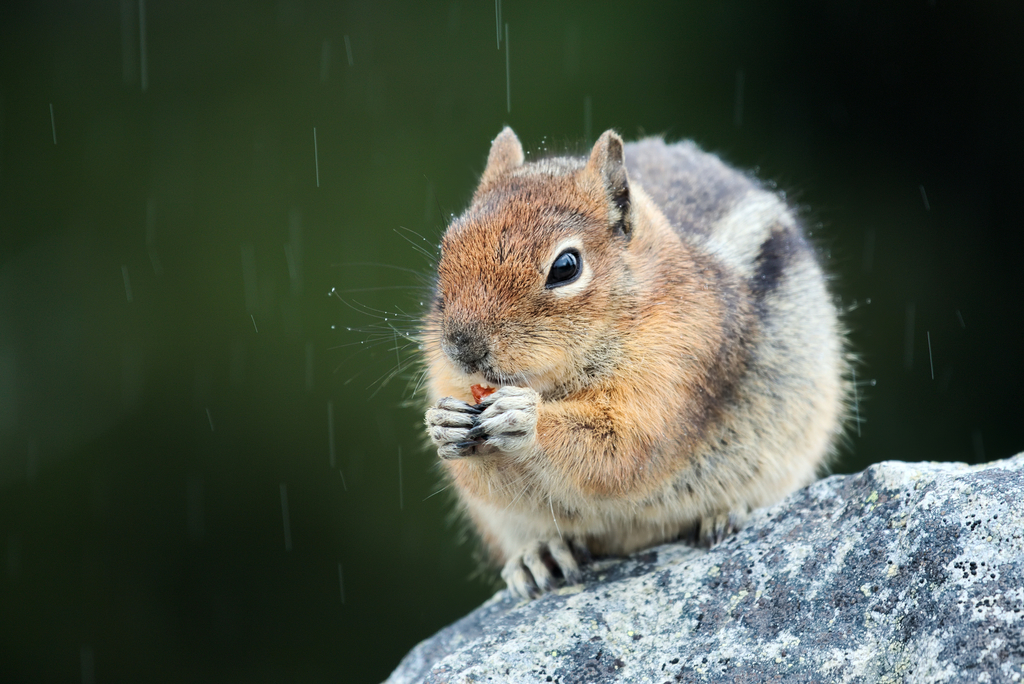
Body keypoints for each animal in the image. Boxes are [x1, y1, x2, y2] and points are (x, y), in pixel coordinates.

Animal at [421, 126, 848, 599]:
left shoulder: (676, 374)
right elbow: (484, 481)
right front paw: (444, 424)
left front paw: (524, 418)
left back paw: (723, 516)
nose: (462, 347)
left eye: (565, 266)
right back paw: (539, 556)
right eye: (446, 250)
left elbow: (620, 449)